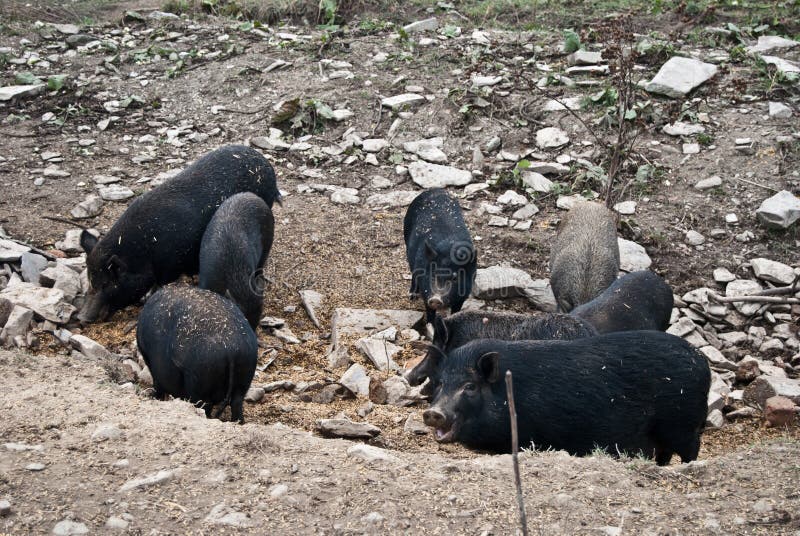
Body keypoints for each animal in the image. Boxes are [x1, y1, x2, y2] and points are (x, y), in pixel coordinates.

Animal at [404, 189, 477, 325]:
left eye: (455, 278)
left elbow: (456, 310)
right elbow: (430, 312)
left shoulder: (463, 294)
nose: (436, 299)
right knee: (413, 273)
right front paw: (430, 324)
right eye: (433, 275)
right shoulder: (426, 292)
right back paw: (412, 296)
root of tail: (434, 189)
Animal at [422, 331, 710, 465]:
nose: (433, 413)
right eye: (440, 383)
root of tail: (703, 363)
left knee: (691, 449)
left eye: (470, 386)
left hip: (681, 424)